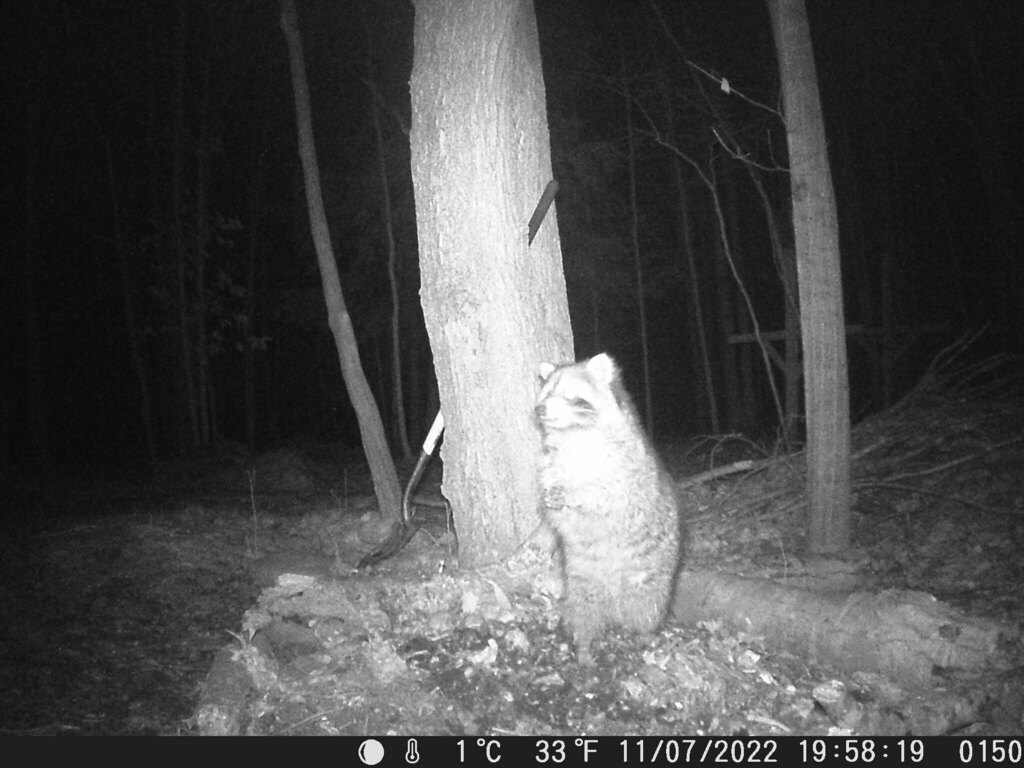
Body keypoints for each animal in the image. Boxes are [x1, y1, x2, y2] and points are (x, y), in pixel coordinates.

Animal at [535, 352, 683, 665]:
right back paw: (584, 646)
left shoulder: (626, 469)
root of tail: (615, 608)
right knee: (584, 613)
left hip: (649, 578)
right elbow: (553, 500)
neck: (572, 433)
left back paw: (645, 633)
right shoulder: (551, 463)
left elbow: (606, 494)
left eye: (569, 394)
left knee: (648, 607)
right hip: (582, 581)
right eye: (546, 393)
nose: (539, 409)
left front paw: (577, 494)